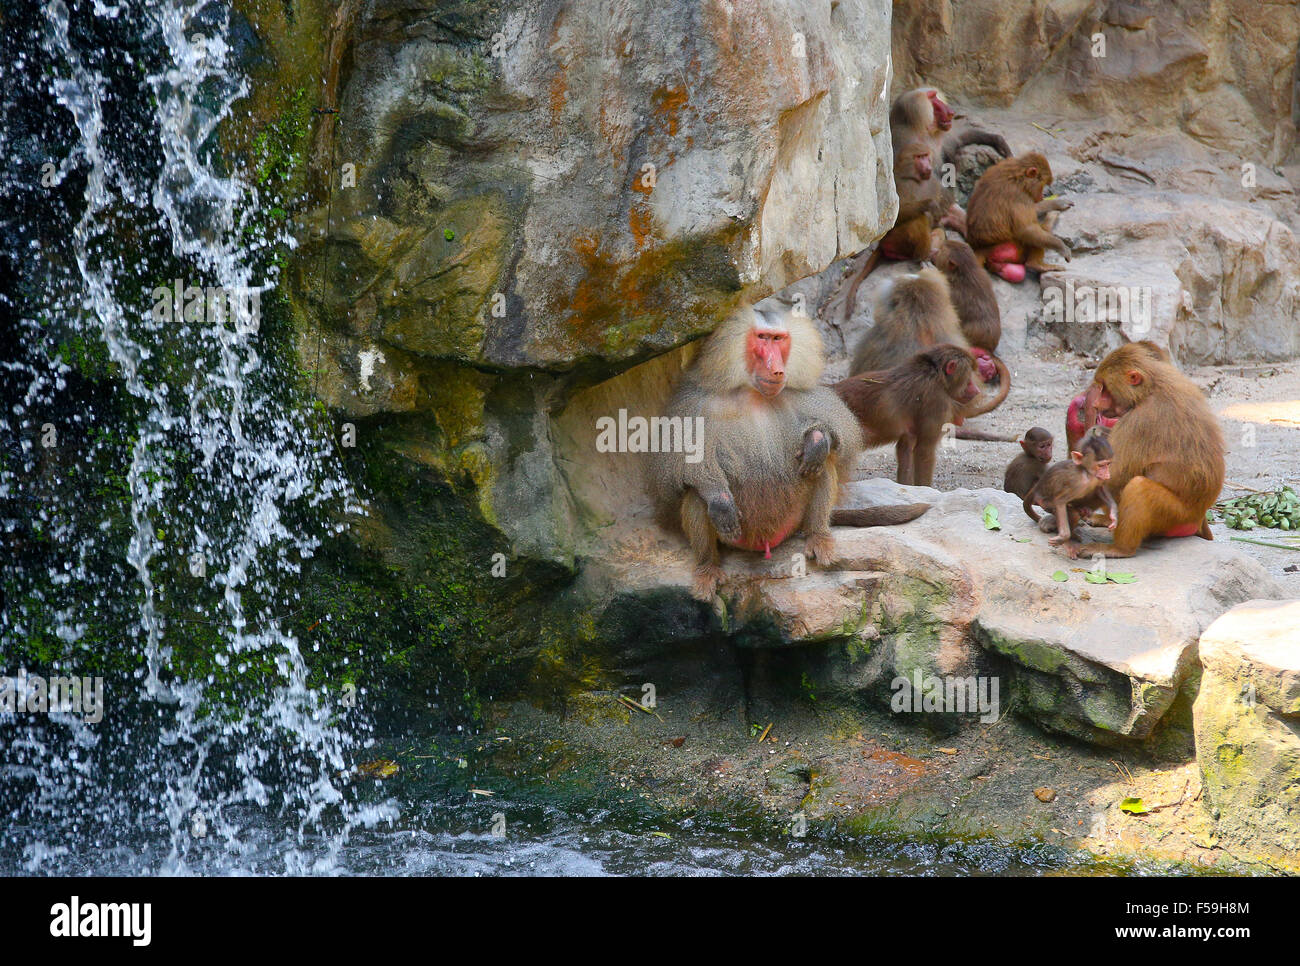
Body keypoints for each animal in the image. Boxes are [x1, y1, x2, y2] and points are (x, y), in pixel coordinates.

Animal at [651, 306, 929, 600]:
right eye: (762, 338)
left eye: (778, 339)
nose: (777, 370)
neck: (753, 392)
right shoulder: (693, 404)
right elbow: (684, 467)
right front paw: (719, 500)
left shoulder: (809, 397)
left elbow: (834, 441)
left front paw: (817, 440)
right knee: (696, 494)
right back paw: (707, 569)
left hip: (794, 518)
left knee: (821, 465)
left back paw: (819, 538)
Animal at [833, 344, 1008, 487]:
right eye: (968, 377)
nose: (976, 390)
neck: (936, 376)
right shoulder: (937, 402)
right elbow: (924, 450)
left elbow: (906, 447)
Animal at [839, 88, 1011, 319]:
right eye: (933, 98)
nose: (951, 111)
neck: (920, 129)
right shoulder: (905, 145)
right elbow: (896, 203)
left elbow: (956, 141)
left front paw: (994, 139)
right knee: (917, 221)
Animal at [966, 152, 1072, 283]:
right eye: (1042, 185)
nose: (1041, 197)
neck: (1017, 176)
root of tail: (981, 248)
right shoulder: (1018, 195)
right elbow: (1027, 229)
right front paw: (1061, 246)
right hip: (1012, 248)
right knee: (1033, 233)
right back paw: (1037, 264)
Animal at [1062, 344, 1225, 559]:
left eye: (1104, 388)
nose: (1095, 405)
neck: (1150, 387)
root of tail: (1199, 517)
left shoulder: (1139, 421)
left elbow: (1112, 476)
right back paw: (1106, 520)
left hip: (1176, 516)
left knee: (1137, 486)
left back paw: (1118, 549)